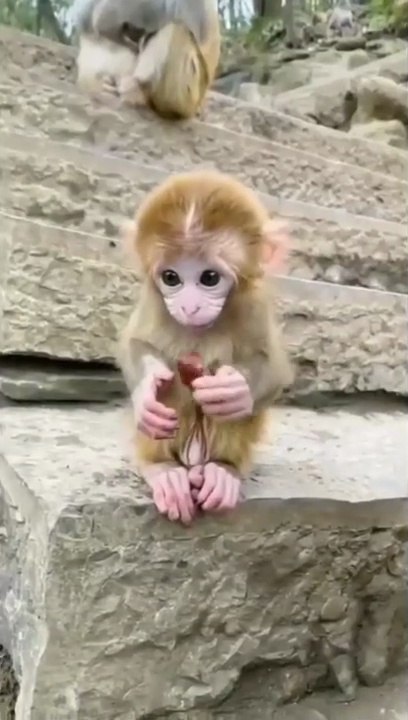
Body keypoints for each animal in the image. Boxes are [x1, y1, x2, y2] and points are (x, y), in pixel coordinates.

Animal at [117, 170, 294, 525]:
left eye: (209, 278)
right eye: (171, 278)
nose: (189, 307)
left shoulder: (253, 303)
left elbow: (275, 368)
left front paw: (235, 390)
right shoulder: (153, 299)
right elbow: (136, 343)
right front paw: (147, 391)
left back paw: (221, 472)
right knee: (172, 383)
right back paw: (163, 470)